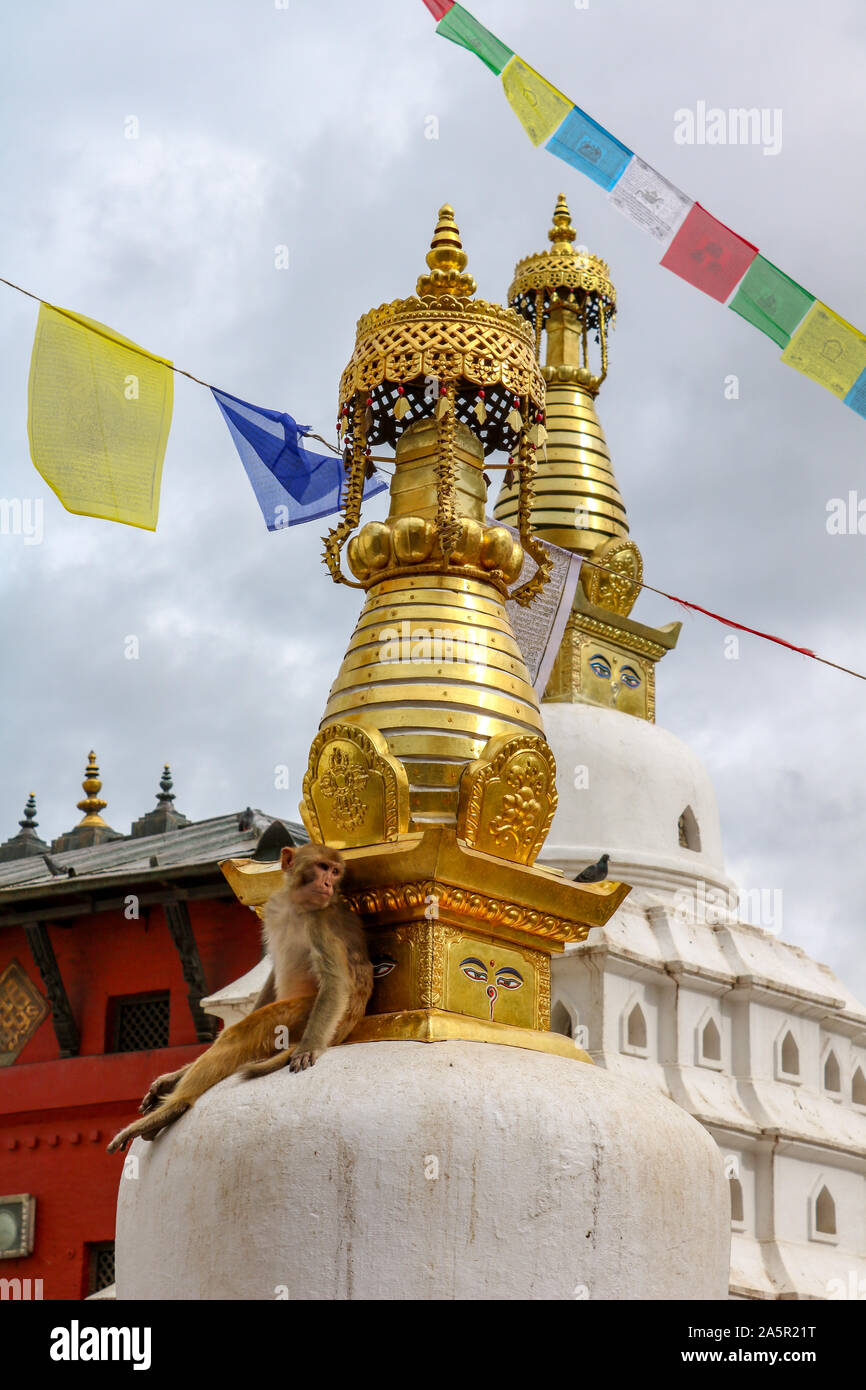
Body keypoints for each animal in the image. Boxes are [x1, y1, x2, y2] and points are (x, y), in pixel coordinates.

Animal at [106, 843, 372, 1154]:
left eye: (335, 871)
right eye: (322, 867)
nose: (329, 884)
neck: (295, 904)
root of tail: (350, 1020)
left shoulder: (320, 921)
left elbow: (334, 980)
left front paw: (309, 1048)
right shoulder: (275, 909)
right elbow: (272, 974)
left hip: (302, 1013)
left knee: (238, 1034)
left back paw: (172, 1108)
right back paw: (174, 1087)